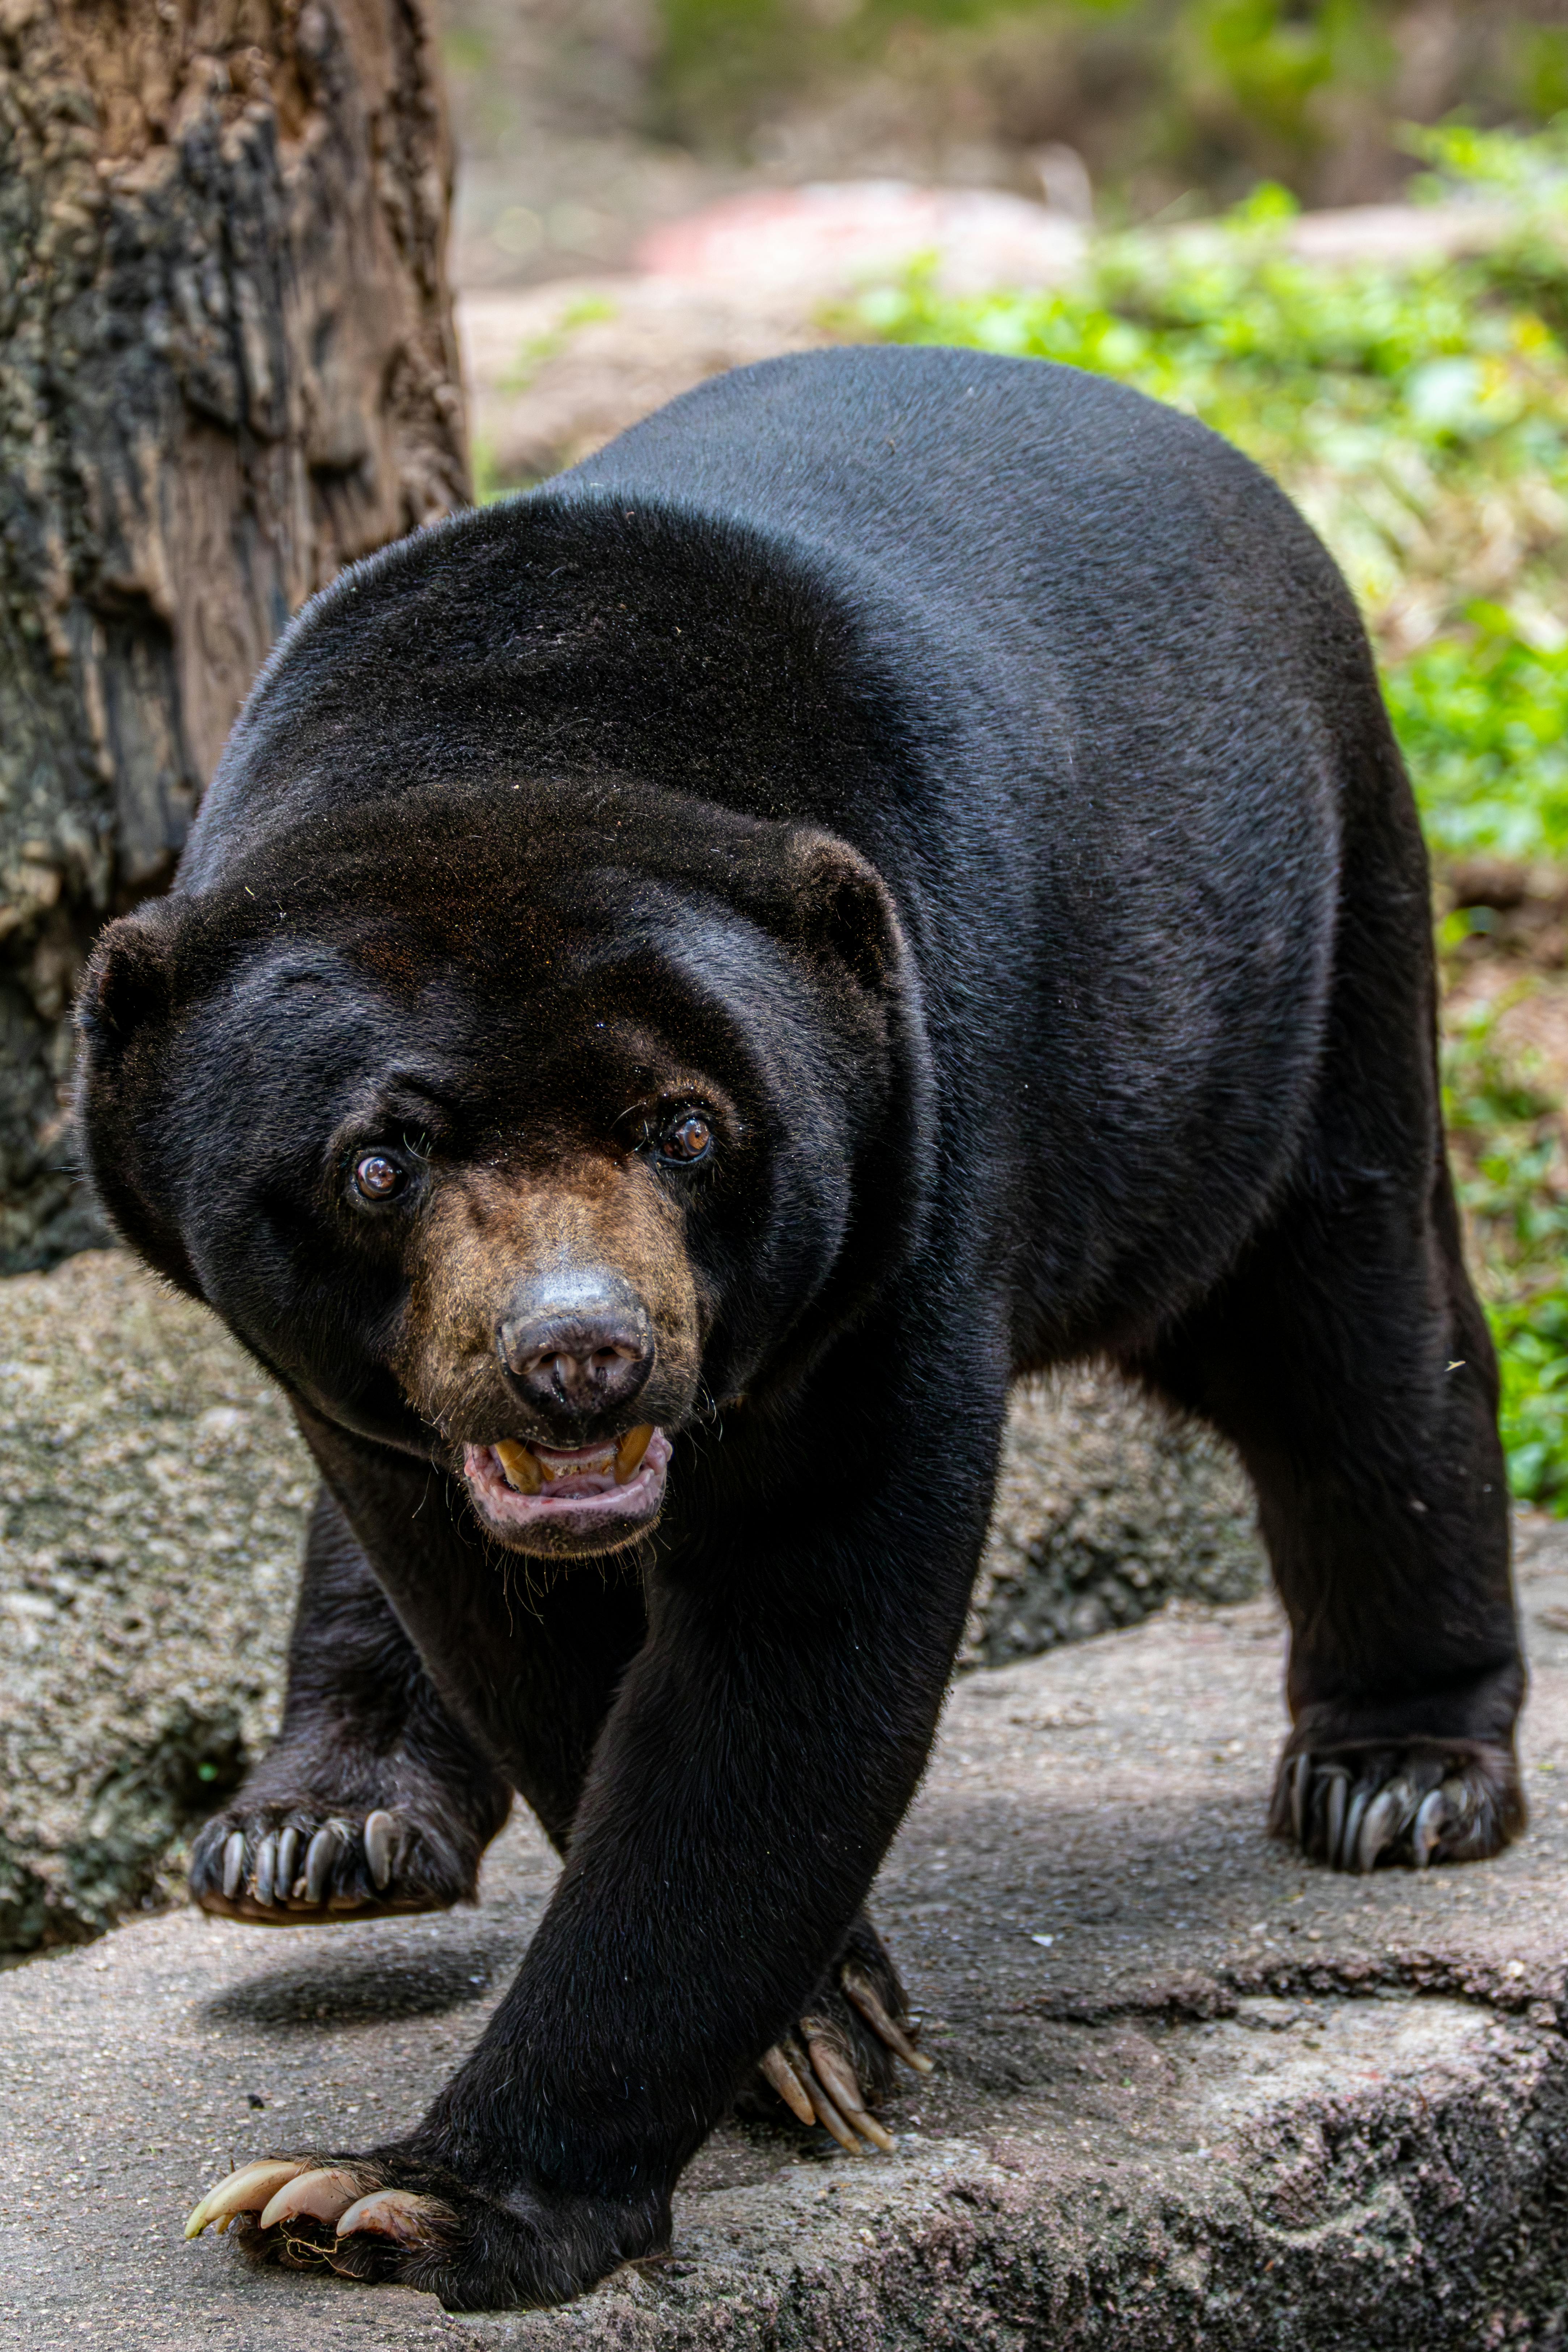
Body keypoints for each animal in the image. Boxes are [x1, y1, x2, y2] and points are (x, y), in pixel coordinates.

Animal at [76, 345, 1524, 2312]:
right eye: (379, 1160)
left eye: (687, 1129)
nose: (579, 1357)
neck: (513, 722)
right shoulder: (362, 1387)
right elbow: (512, 1614)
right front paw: (814, 2019)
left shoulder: (906, 1172)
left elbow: (797, 1642)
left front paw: (387, 2197)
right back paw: (312, 1827)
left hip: (1288, 964)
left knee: (1347, 1334)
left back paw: (1398, 1778)